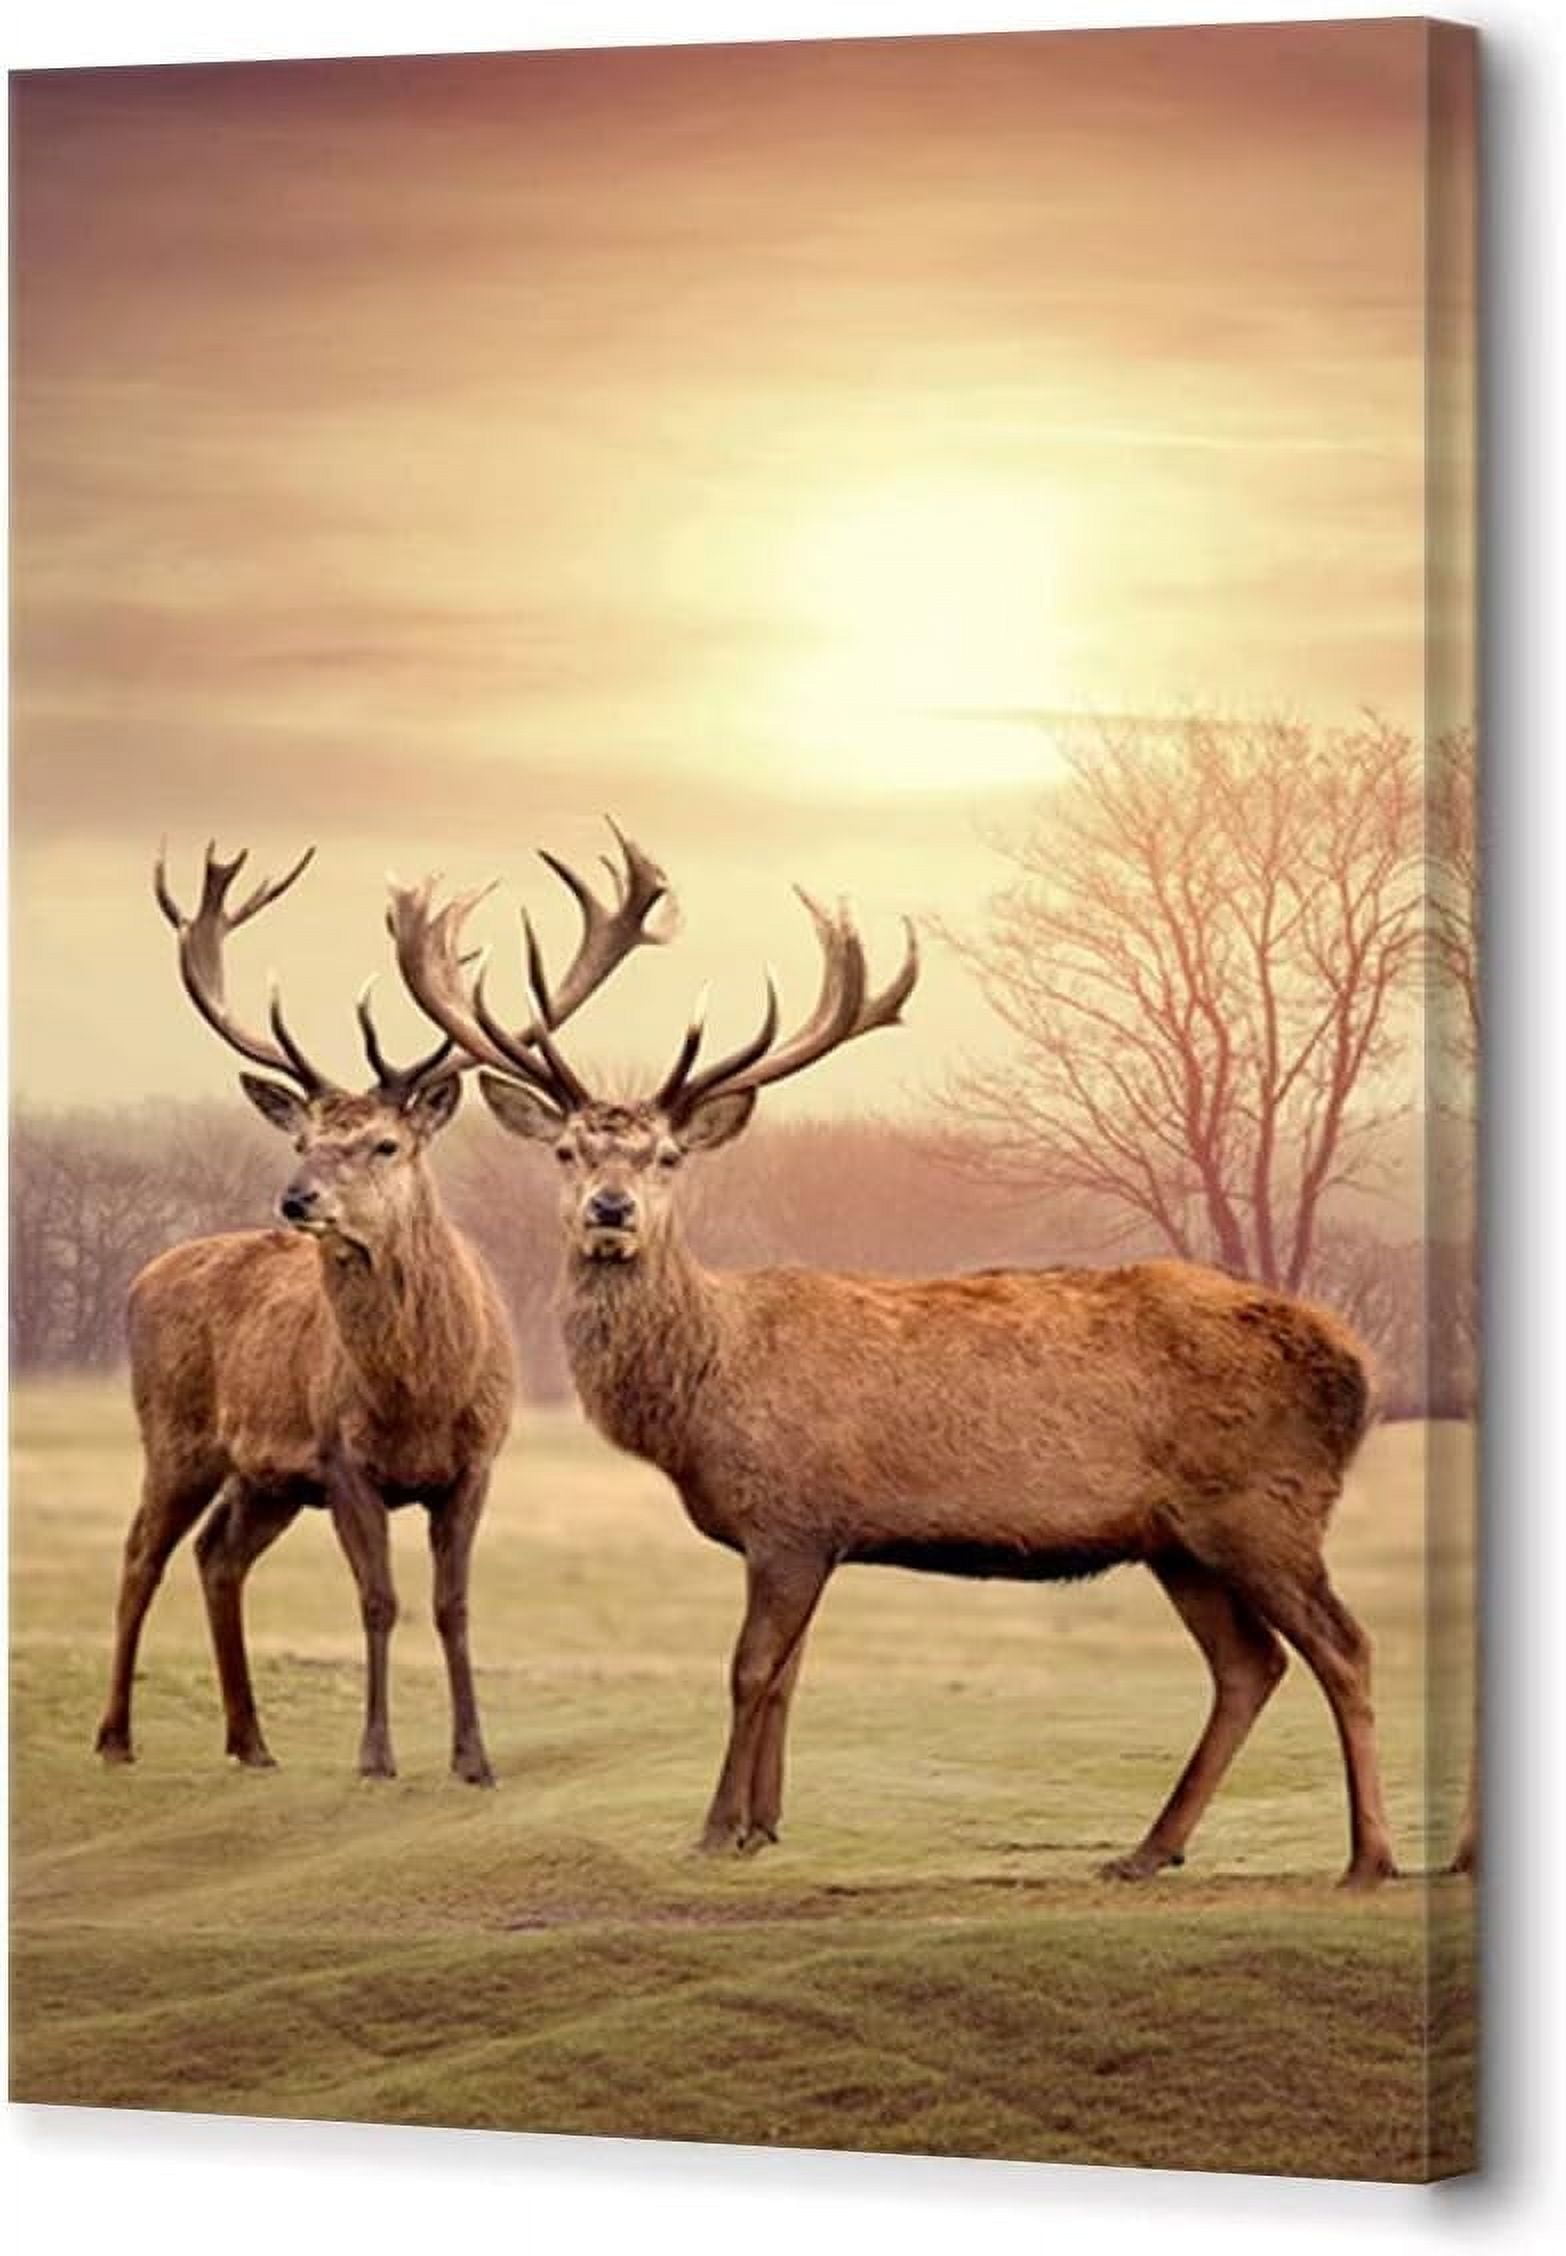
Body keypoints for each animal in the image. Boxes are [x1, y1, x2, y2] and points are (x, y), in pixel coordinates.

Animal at [94, 825, 670, 1784]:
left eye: (385, 1143)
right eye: (302, 1138)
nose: (297, 1200)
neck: (418, 1395)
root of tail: (144, 1277)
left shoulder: (476, 1463)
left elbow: (452, 1606)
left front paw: (474, 1759)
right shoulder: (342, 1459)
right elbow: (378, 1601)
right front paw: (376, 1756)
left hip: (264, 1477)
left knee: (217, 1554)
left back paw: (252, 1743)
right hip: (175, 1430)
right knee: (143, 1552)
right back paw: (115, 1737)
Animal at [392, 866, 1401, 1889]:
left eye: (666, 1158)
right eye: (567, 1152)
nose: (610, 1209)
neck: (704, 1396)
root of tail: (1356, 1367)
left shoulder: (792, 1516)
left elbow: (748, 1672)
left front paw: (715, 1830)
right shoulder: (803, 1535)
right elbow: (787, 1676)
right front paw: (763, 1826)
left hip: (1265, 1509)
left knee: (1344, 1646)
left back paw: (1368, 1858)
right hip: (1179, 1539)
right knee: (1248, 1666)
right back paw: (1151, 1849)